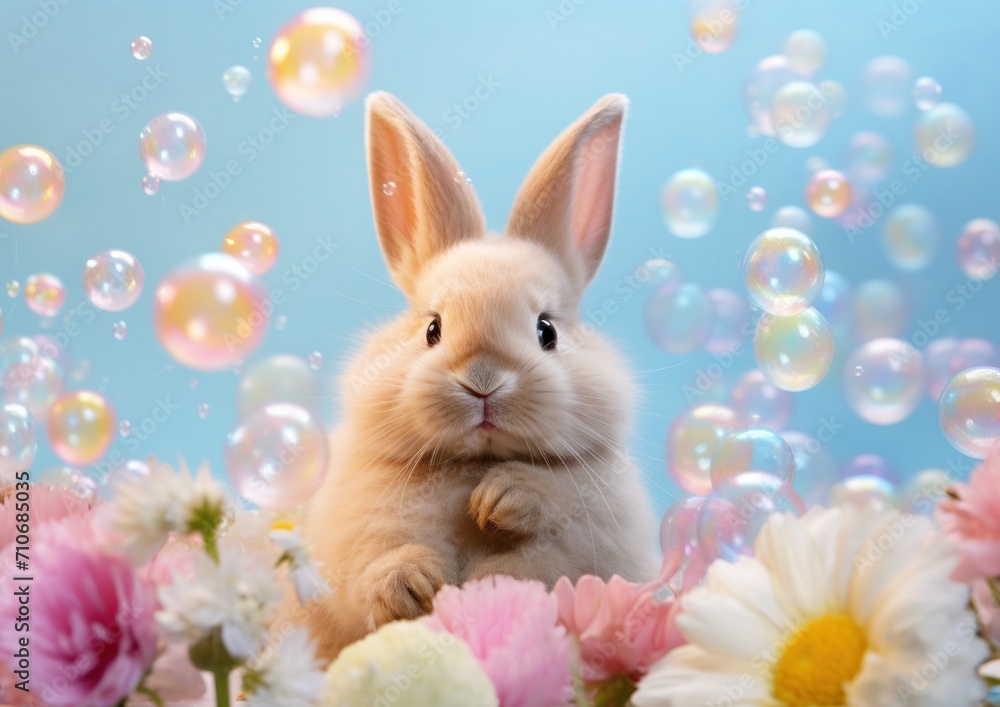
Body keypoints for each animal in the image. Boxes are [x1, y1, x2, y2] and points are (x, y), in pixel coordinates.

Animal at [295, 91, 659, 660]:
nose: (484, 381)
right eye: (433, 328)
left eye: (547, 331)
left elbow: (540, 560)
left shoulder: (591, 535)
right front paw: (416, 585)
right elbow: (373, 568)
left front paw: (497, 509)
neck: (472, 464)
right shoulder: (354, 536)